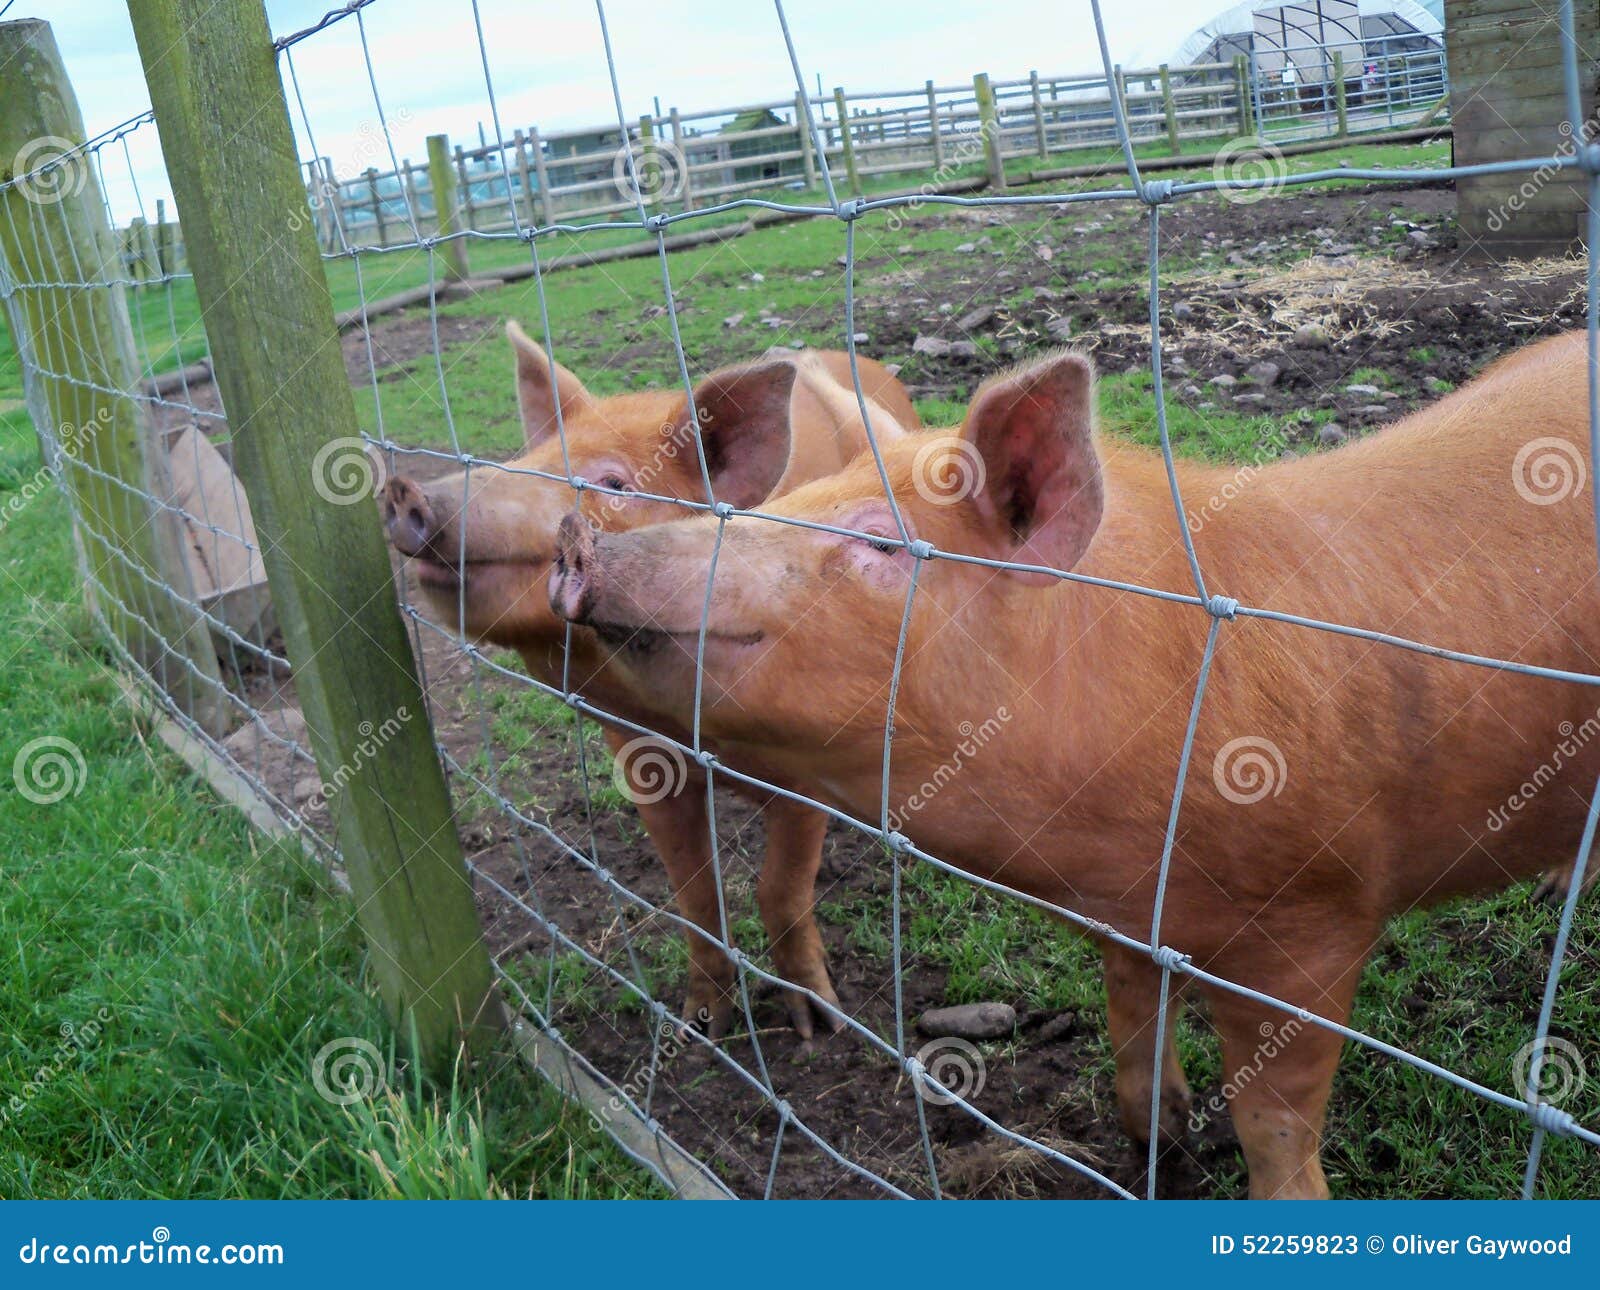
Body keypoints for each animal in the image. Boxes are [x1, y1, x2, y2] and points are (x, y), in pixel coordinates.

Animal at [382, 321, 919, 1039]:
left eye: (612, 481)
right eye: (528, 456)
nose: (408, 492)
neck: (687, 731)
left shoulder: (809, 766)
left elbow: (780, 886)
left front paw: (816, 1025)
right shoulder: (638, 757)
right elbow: (693, 890)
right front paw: (701, 1028)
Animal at [549, 332, 1600, 1198]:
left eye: (882, 542)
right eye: (789, 503)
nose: (580, 539)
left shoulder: (1316, 918)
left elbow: (1274, 1120)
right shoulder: (1127, 916)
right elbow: (1133, 1013)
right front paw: (1154, 1145)